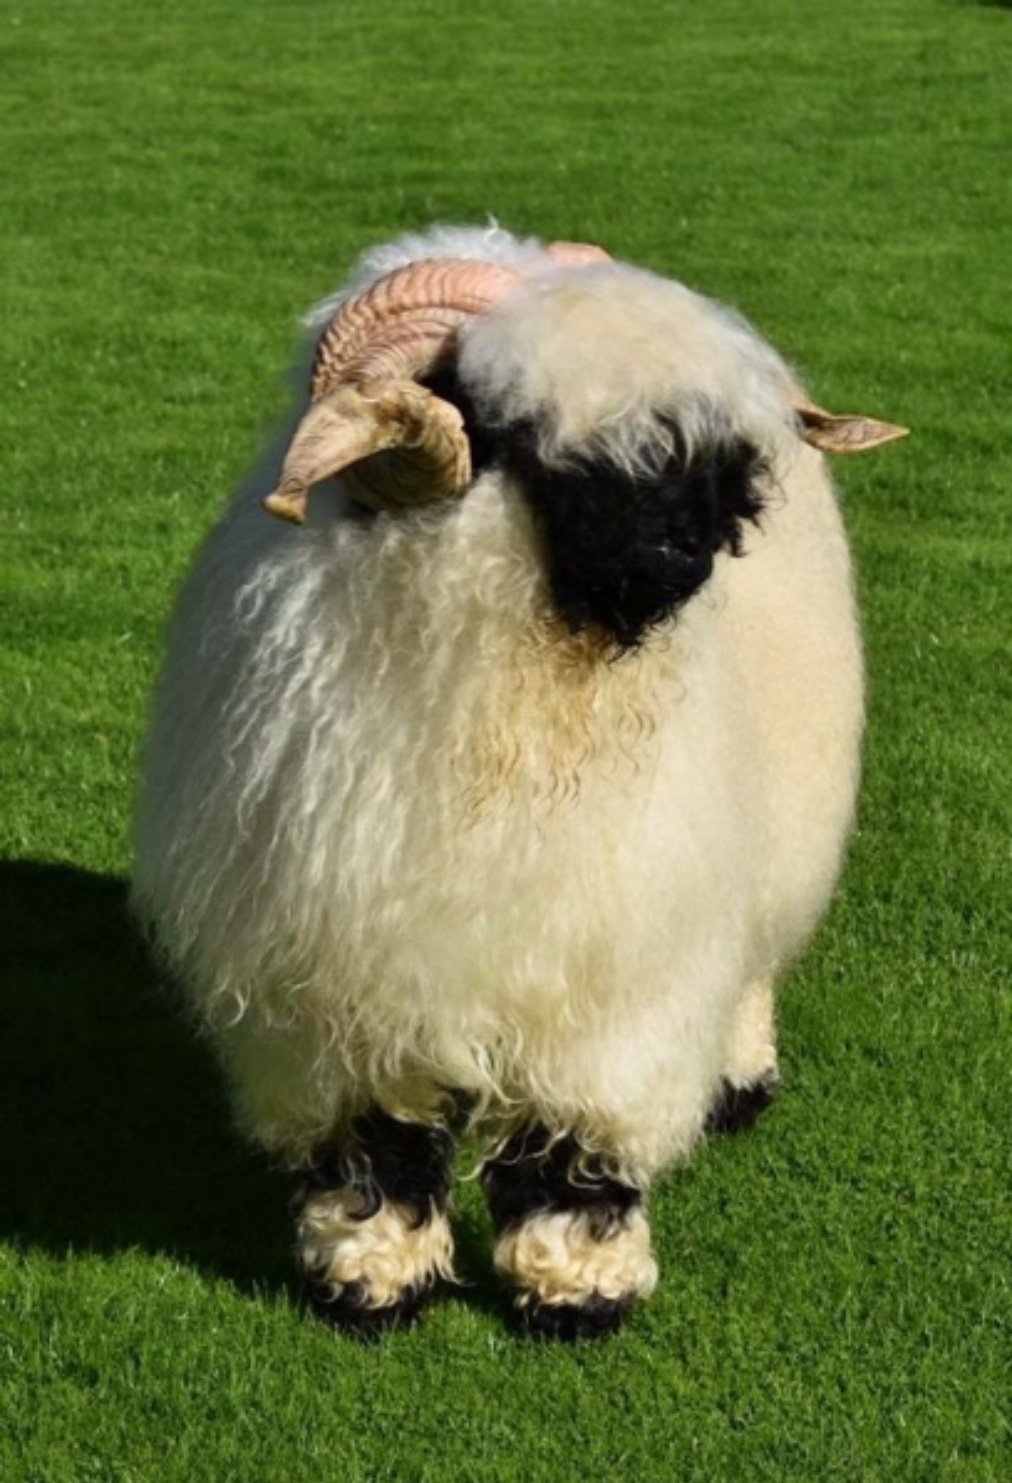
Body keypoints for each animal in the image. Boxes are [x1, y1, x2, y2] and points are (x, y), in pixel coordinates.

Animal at [132, 223, 907, 1339]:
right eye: (507, 428)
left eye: (702, 450)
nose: (683, 551)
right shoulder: (336, 979)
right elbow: (375, 1142)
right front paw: (372, 1277)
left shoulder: (612, 969)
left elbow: (577, 1141)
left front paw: (578, 1285)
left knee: (754, 961)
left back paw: (739, 1079)